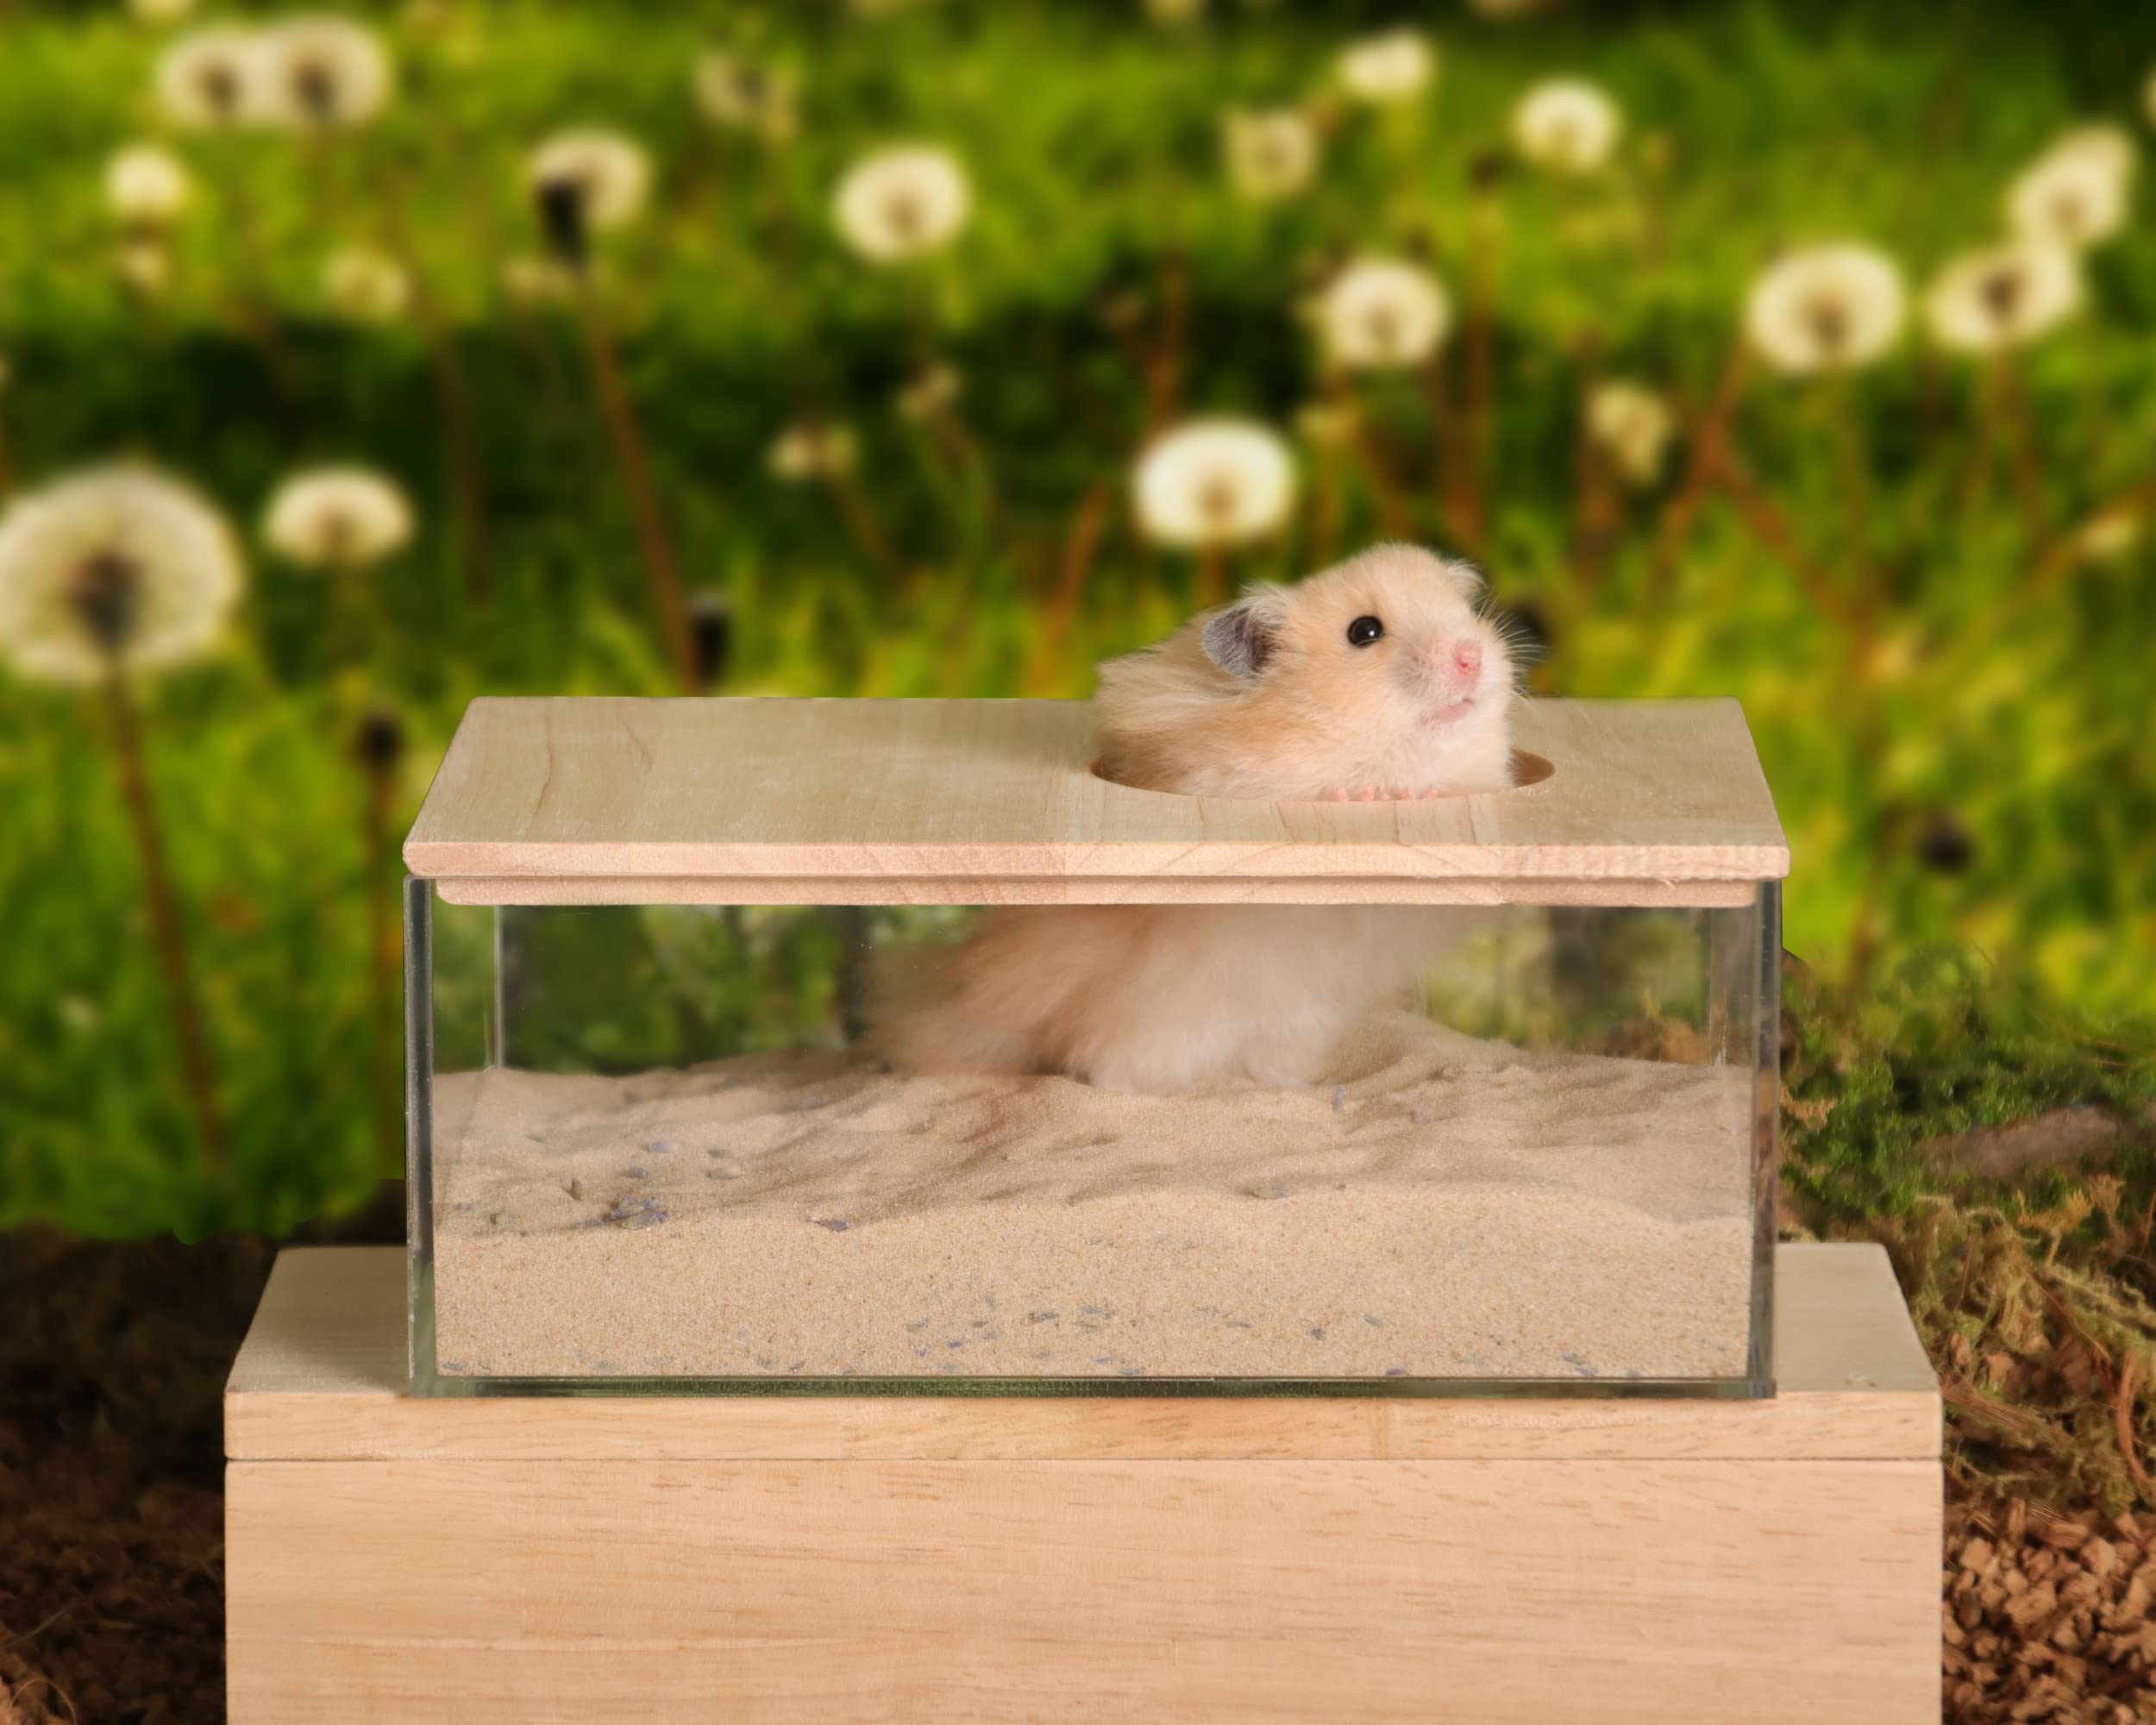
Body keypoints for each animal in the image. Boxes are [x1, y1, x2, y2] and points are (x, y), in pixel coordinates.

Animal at [884, 543, 1523, 1093]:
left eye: (1463, 610)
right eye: (1364, 632)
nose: (1472, 655)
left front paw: (1418, 792)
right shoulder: (1218, 783)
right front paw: (1363, 796)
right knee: (1102, 1068)